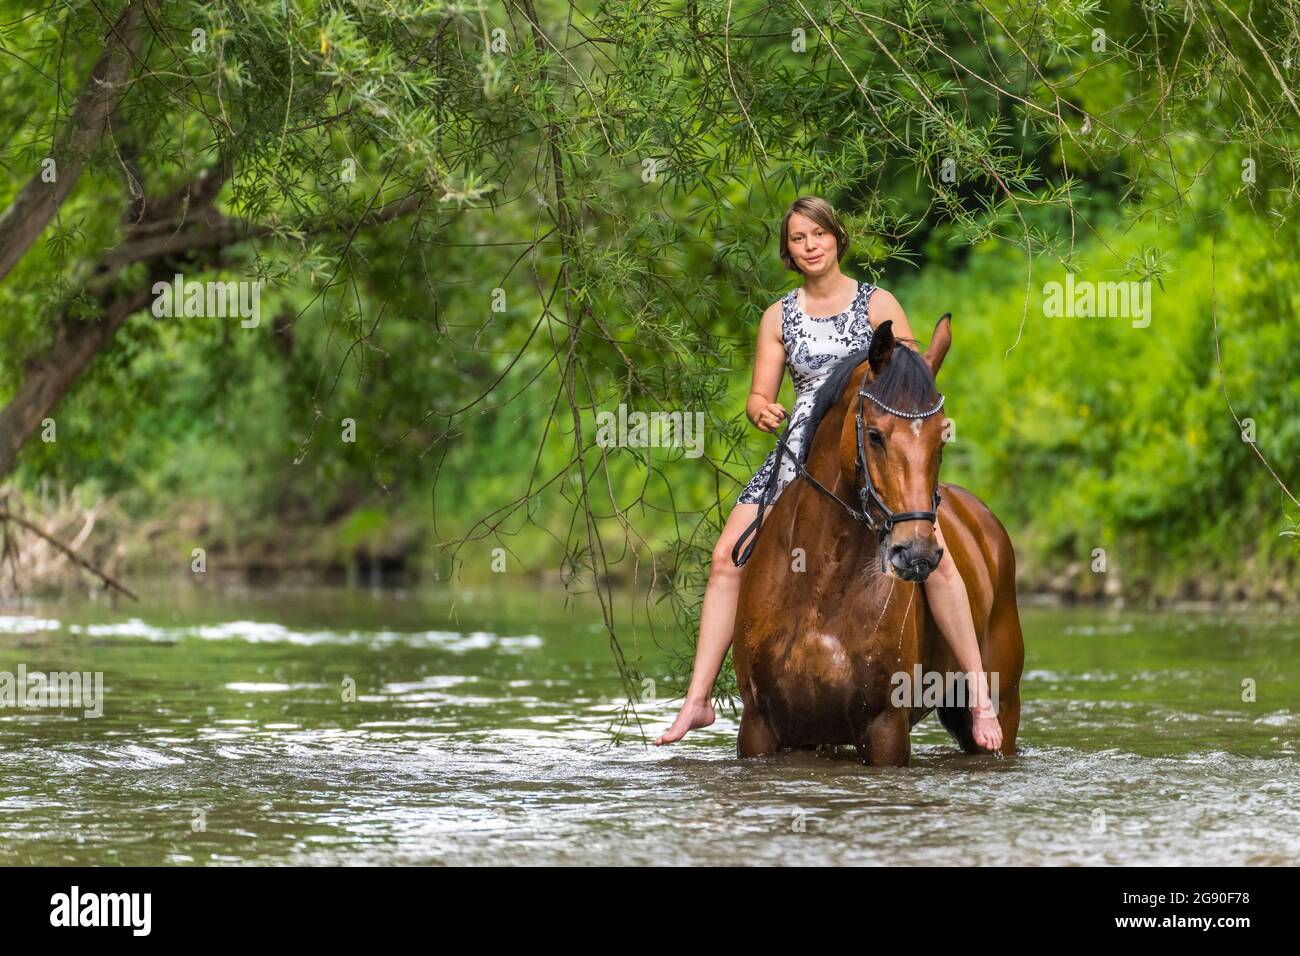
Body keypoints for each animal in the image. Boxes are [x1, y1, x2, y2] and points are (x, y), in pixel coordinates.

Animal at [730, 315, 1024, 765]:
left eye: (942, 438)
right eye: (874, 435)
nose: (917, 552)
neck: (819, 584)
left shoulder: (886, 728)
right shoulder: (761, 728)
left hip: (1003, 706)